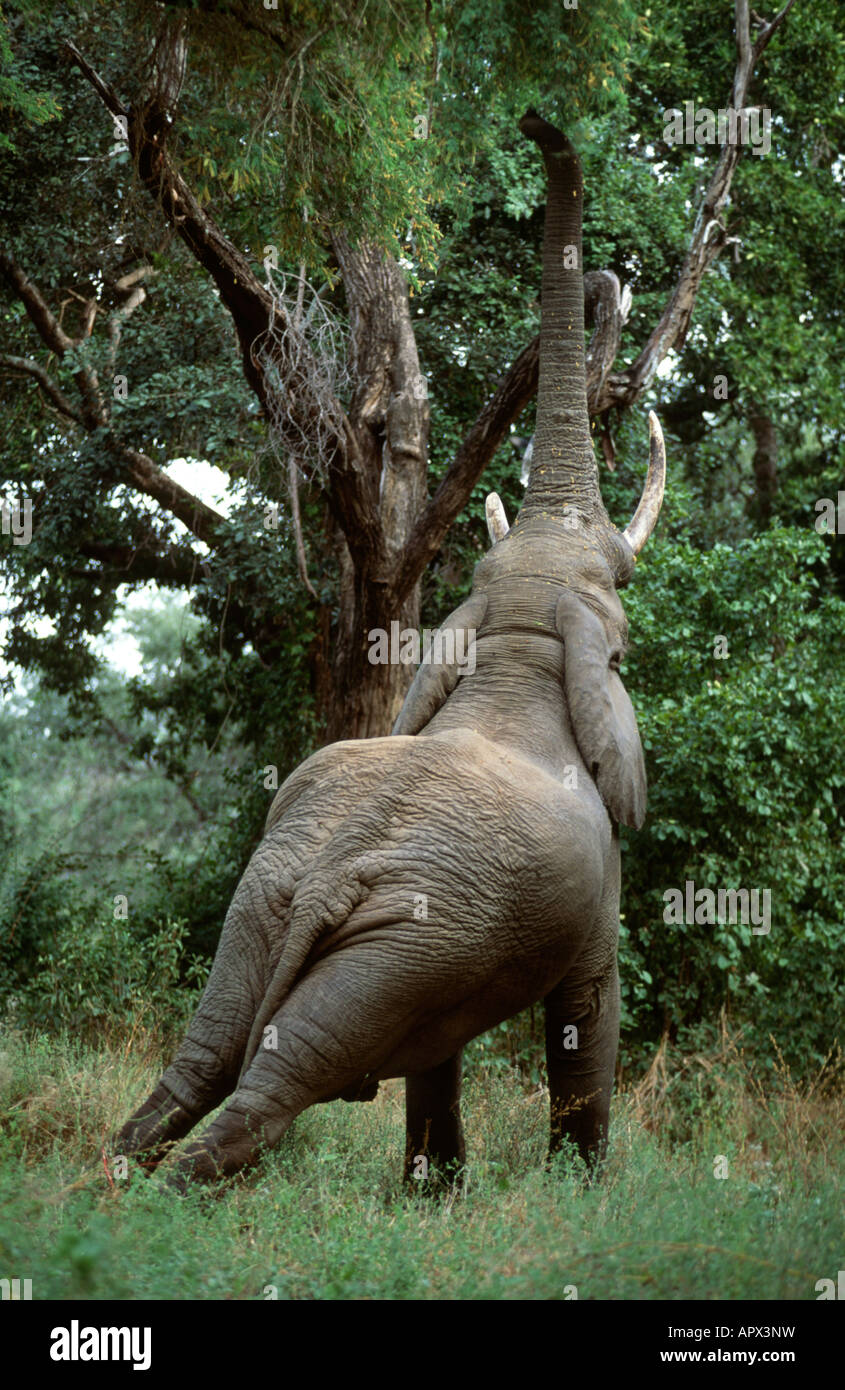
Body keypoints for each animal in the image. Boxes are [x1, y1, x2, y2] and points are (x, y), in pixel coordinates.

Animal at [114, 111, 665, 1189]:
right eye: (619, 618)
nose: (537, 118)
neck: (517, 652)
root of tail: (329, 878)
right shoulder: (585, 904)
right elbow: (587, 1007)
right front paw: (578, 1195)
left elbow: (435, 1046)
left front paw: (432, 1198)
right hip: (405, 938)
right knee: (266, 1092)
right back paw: (161, 1193)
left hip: (292, 909)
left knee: (206, 1056)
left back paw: (114, 1177)